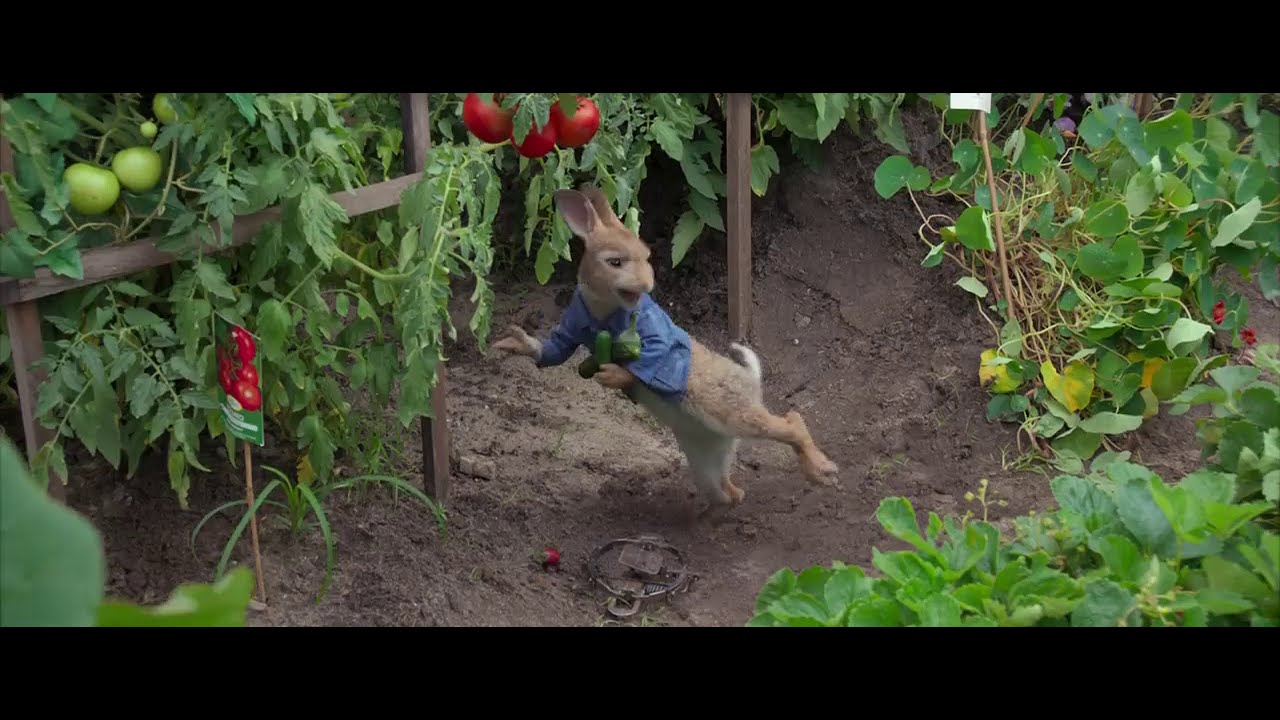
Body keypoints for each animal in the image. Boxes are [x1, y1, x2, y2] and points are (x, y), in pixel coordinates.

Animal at [491, 185, 840, 519]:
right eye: (615, 262)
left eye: (647, 256)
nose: (647, 285)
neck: (605, 310)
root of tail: (750, 378)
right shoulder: (572, 325)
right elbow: (556, 348)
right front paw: (512, 342)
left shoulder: (651, 333)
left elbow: (650, 359)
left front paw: (613, 376)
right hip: (706, 454)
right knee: (728, 491)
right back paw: (705, 514)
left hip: (732, 413)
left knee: (792, 423)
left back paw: (822, 471)